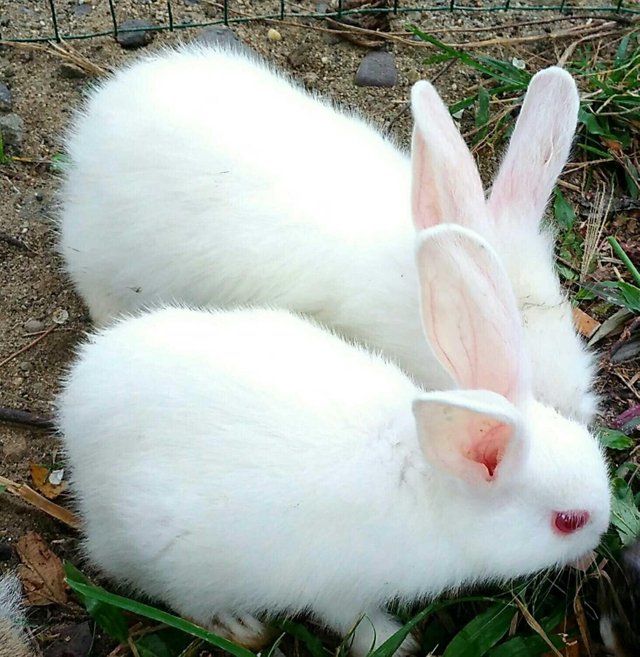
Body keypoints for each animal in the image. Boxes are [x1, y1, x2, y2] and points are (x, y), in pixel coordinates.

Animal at [56, 224, 611, 657]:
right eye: (567, 521)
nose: (599, 540)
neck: (429, 484)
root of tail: (75, 406)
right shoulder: (340, 585)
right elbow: (353, 620)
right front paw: (399, 643)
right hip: (165, 554)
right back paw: (237, 625)